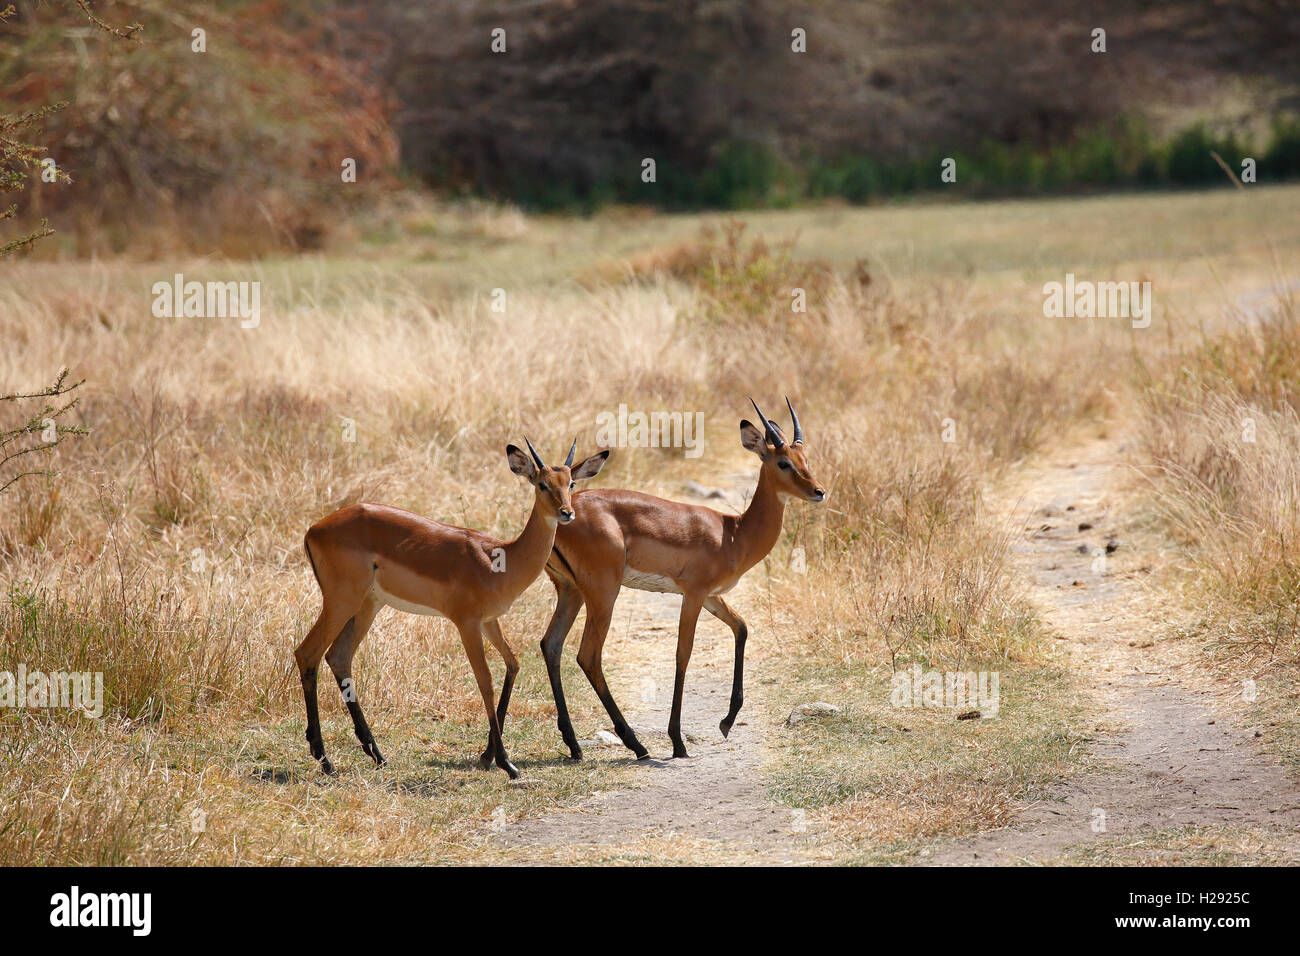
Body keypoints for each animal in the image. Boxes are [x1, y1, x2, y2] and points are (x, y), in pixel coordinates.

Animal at [294, 437, 609, 778]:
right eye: (542, 484)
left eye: (570, 482)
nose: (567, 513)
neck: (501, 560)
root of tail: (313, 529)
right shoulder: (466, 623)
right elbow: (485, 680)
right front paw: (507, 763)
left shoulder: (489, 621)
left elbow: (512, 663)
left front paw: (490, 755)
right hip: (341, 602)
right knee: (307, 653)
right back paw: (326, 761)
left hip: (368, 605)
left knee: (338, 657)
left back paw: (377, 755)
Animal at [534, 397, 825, 761]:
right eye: (784, 462)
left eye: (805, 459)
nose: (819, 491)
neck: (733, 533)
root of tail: (562, 516)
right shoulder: (694, 594)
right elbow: (682, 654)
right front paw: (677, 741)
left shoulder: (713, 596)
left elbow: (742, 628)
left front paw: (726, 722)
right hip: (603, 592)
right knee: (588, 655)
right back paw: (637, 745)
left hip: (570, 591)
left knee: (551, 644)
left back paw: (575, 746)